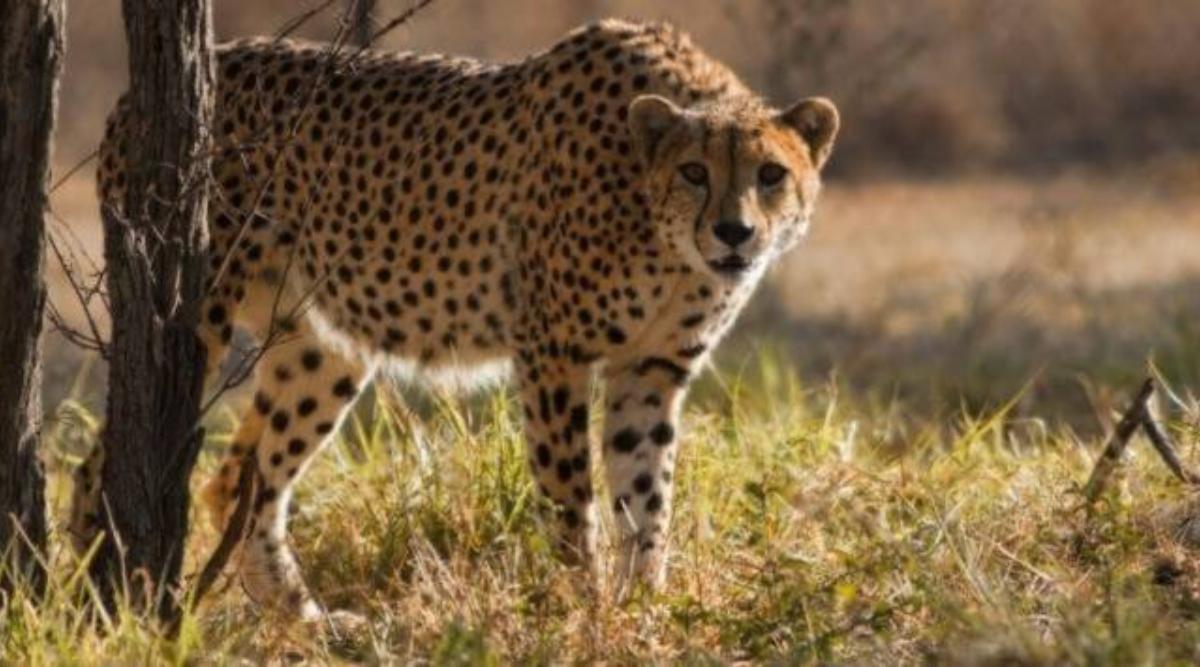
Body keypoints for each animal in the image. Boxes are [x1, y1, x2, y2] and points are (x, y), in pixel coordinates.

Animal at [71, 18, 839, 623]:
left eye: (770, 174)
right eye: (694, 172)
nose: (735, 233)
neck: (664, 234)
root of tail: (129, 103)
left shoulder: (652, 368)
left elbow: (646, 497)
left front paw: (645, 607)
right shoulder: (553, 354)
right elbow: (572, 503)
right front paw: (585, 610)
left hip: (323, 347)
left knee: (240, 480)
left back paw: (308, 623)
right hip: (198, 316)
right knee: (102, 462)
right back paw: (95, 606)